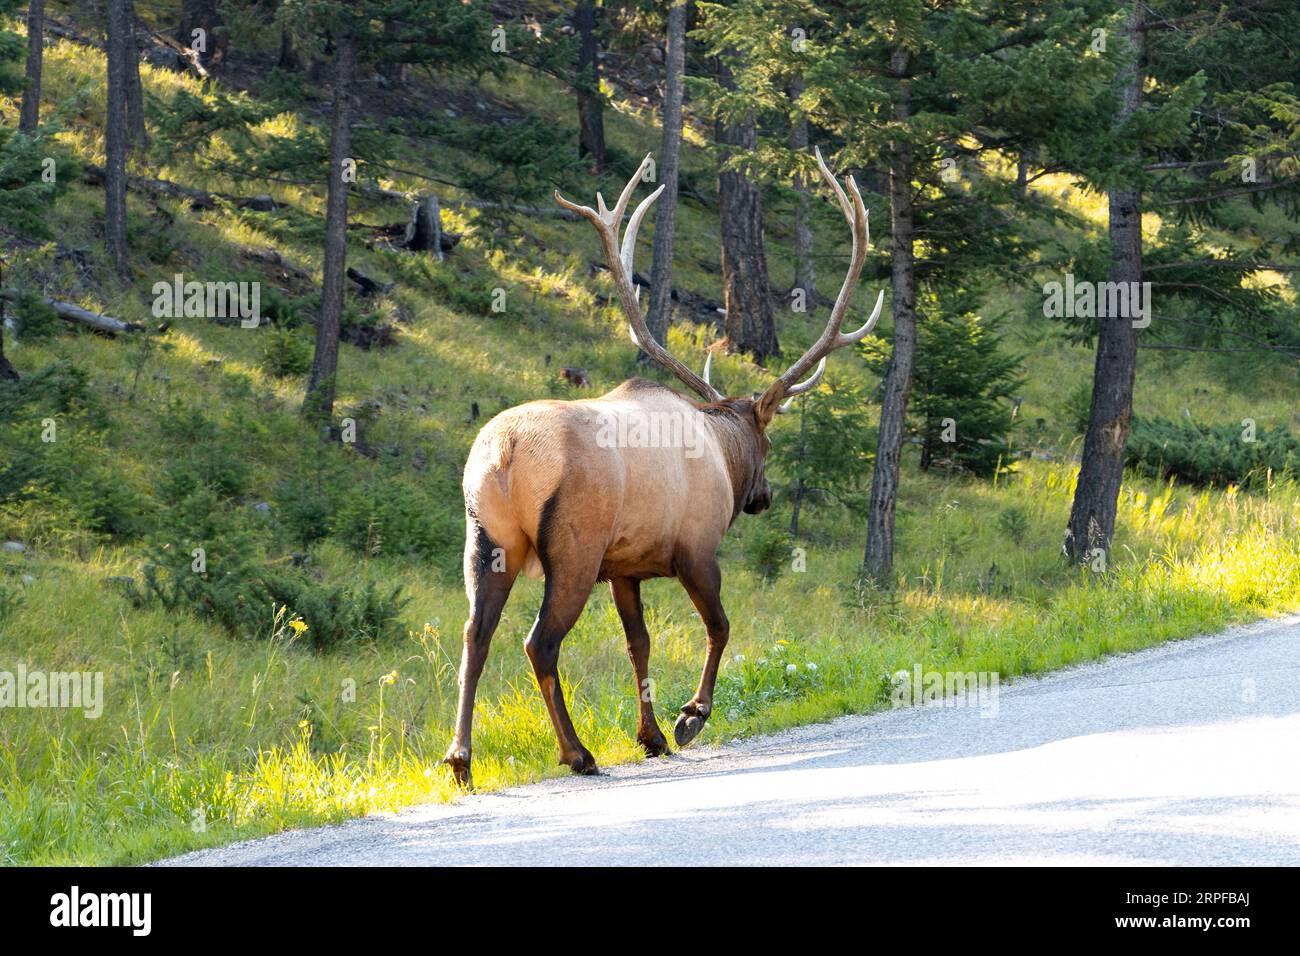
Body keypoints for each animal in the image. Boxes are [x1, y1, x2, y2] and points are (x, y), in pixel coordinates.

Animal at [443, 148, 883, 787]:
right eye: (767, 446)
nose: (763, 497)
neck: (723, 450)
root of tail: (504, 453)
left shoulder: (624, 566)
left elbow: (640, 644)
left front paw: (649, 735)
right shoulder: (696, 548)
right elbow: (719, 626)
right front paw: (690, 716)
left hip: (486, 537)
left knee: (476, 633)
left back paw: (460, 757)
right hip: (573, 548)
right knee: (539, 642)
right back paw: (576, 753)